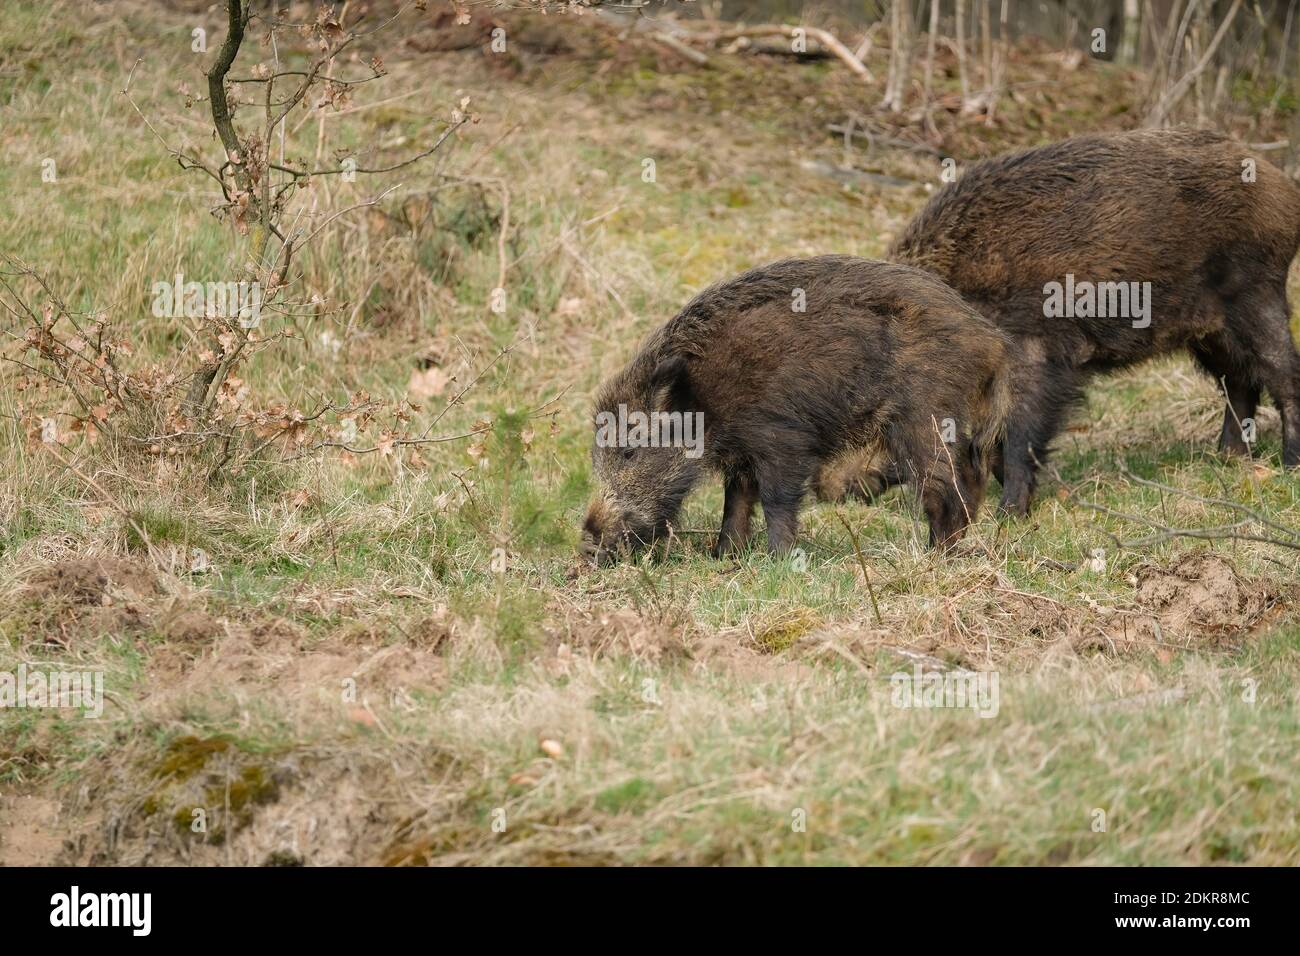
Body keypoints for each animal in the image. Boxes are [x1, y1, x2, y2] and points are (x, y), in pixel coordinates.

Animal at [579, 256, 1011, 563]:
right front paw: (724, 557)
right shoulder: (743, 455)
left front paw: (779, 561)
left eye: (629, 451)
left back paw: (934, 555)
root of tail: (990, 339)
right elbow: (736, 500)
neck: (704, 401)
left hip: (923, 415)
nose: (588, 540)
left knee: (944, 483)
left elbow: (776, 499)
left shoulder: (782, 440)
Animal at [826, 128, 1300, 515]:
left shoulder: (1038, 356)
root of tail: (1283, 189)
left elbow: (1019, 437)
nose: (832, 488)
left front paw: (1008, 515)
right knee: (1239, 382)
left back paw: (1288, 464)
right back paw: (1227, 459)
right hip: (1208, 331)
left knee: (1282, 374)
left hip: (1256, 296)